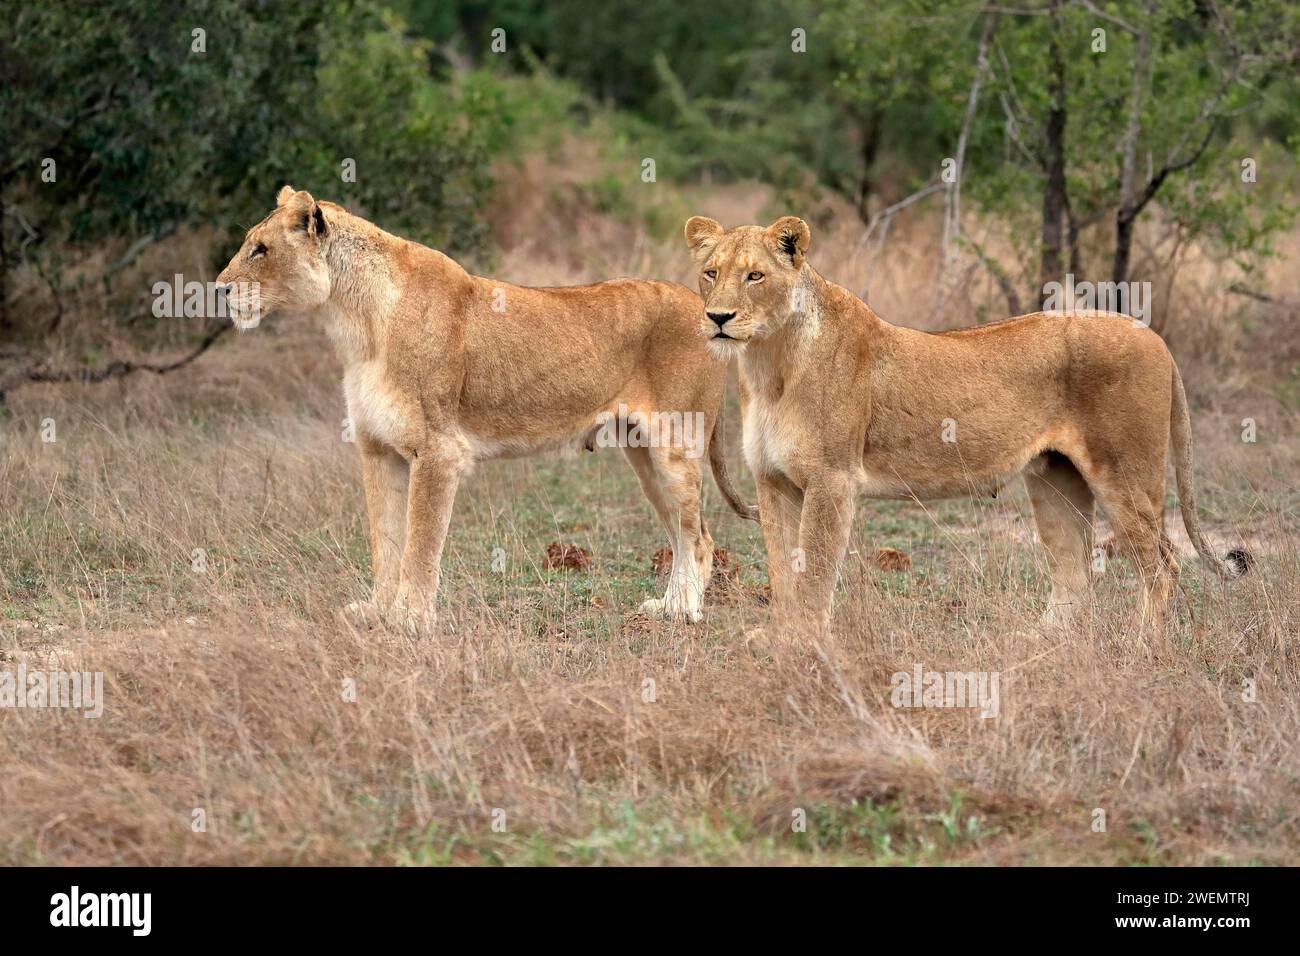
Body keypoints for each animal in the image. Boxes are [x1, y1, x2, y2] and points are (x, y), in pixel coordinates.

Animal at [214, 186, 756, 633]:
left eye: (260, 249)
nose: (218, 289)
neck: (354, 322)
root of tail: (705, 306)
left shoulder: (438, 451)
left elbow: (419, 545)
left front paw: (411, 620)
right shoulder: (377, 450)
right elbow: (384, 542)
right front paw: (377, 612)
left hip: (676, 445)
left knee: (700, 539)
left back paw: (683, 612)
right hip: (642, 452)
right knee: (686, 533)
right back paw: (667, 607)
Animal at [682, 214, 1250, 643]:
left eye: (755, 276)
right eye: (710, 272)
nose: (718, 317)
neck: (768, 362)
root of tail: (1152, 336)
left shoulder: (832, 479)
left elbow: (815, 569)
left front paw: (803, 642)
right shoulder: (773, 481)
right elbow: (783, 567)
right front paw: (779, 635)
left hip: (1125, 474)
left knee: (1164, 564)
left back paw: (1140, 643)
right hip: (1056, 478)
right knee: (1074, 567)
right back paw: (1040, 640)